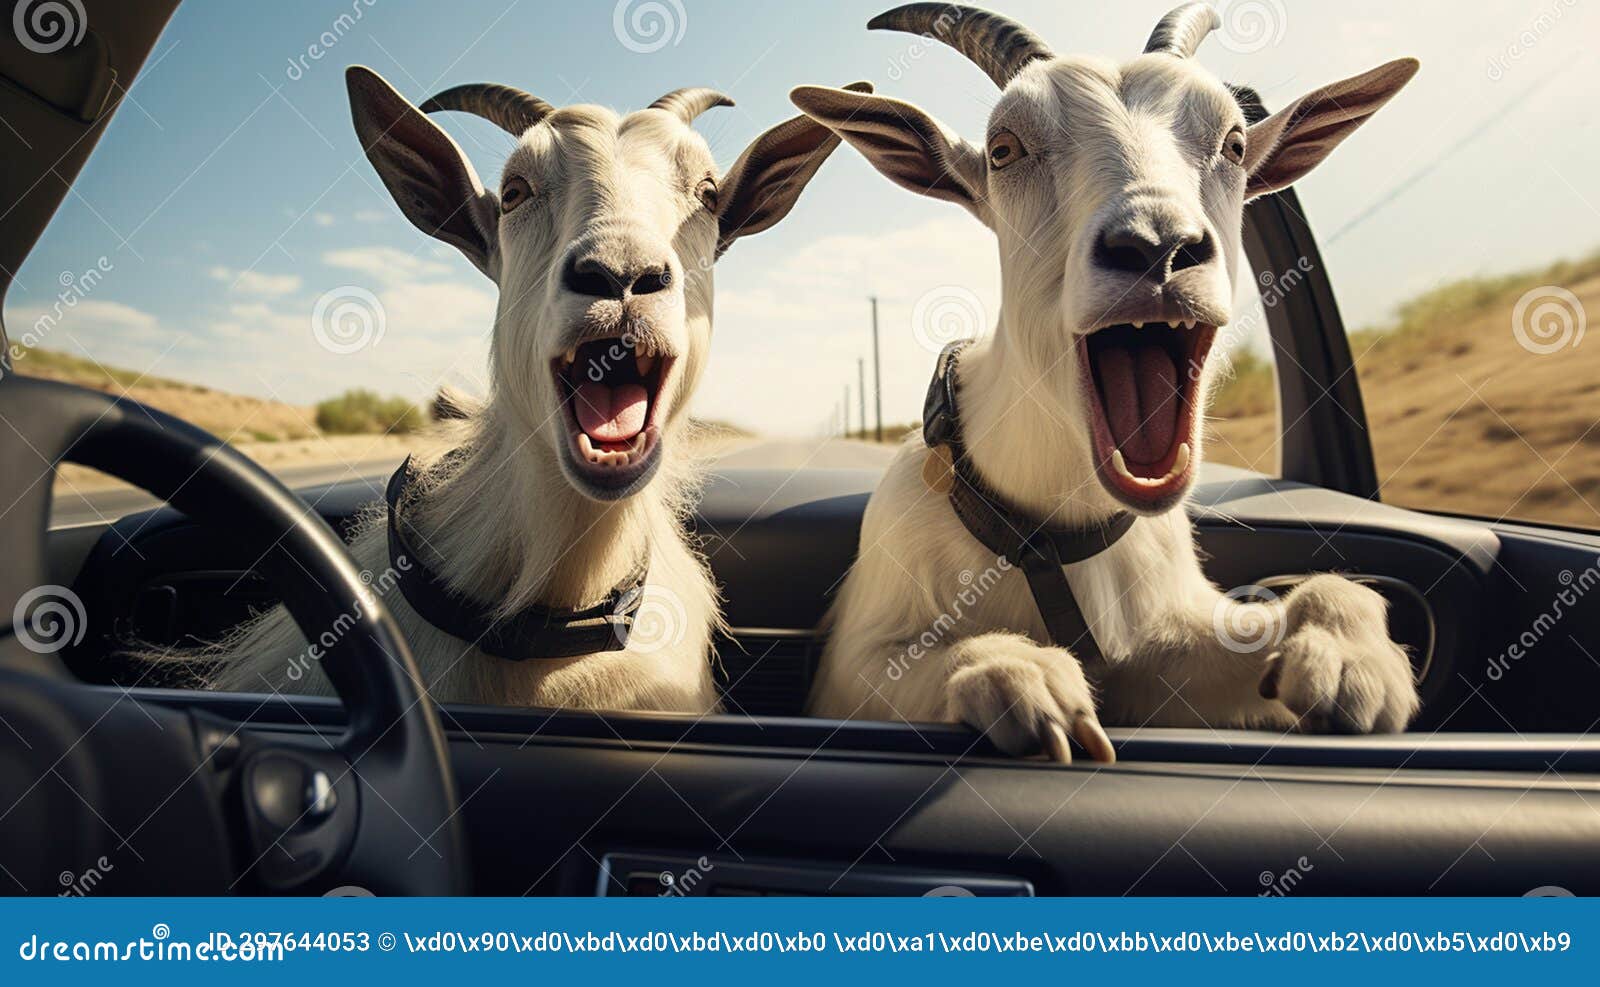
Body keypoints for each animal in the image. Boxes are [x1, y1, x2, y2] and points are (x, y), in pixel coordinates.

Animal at [795, 4, 1421, 759]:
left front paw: (1354, 664)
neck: (1055, 534)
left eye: (1235, 143)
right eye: (1003, 148)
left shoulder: (1163, 651)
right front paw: (1021, 676)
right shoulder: (845, 668)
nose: (1157, 246)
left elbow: (1320, 599)